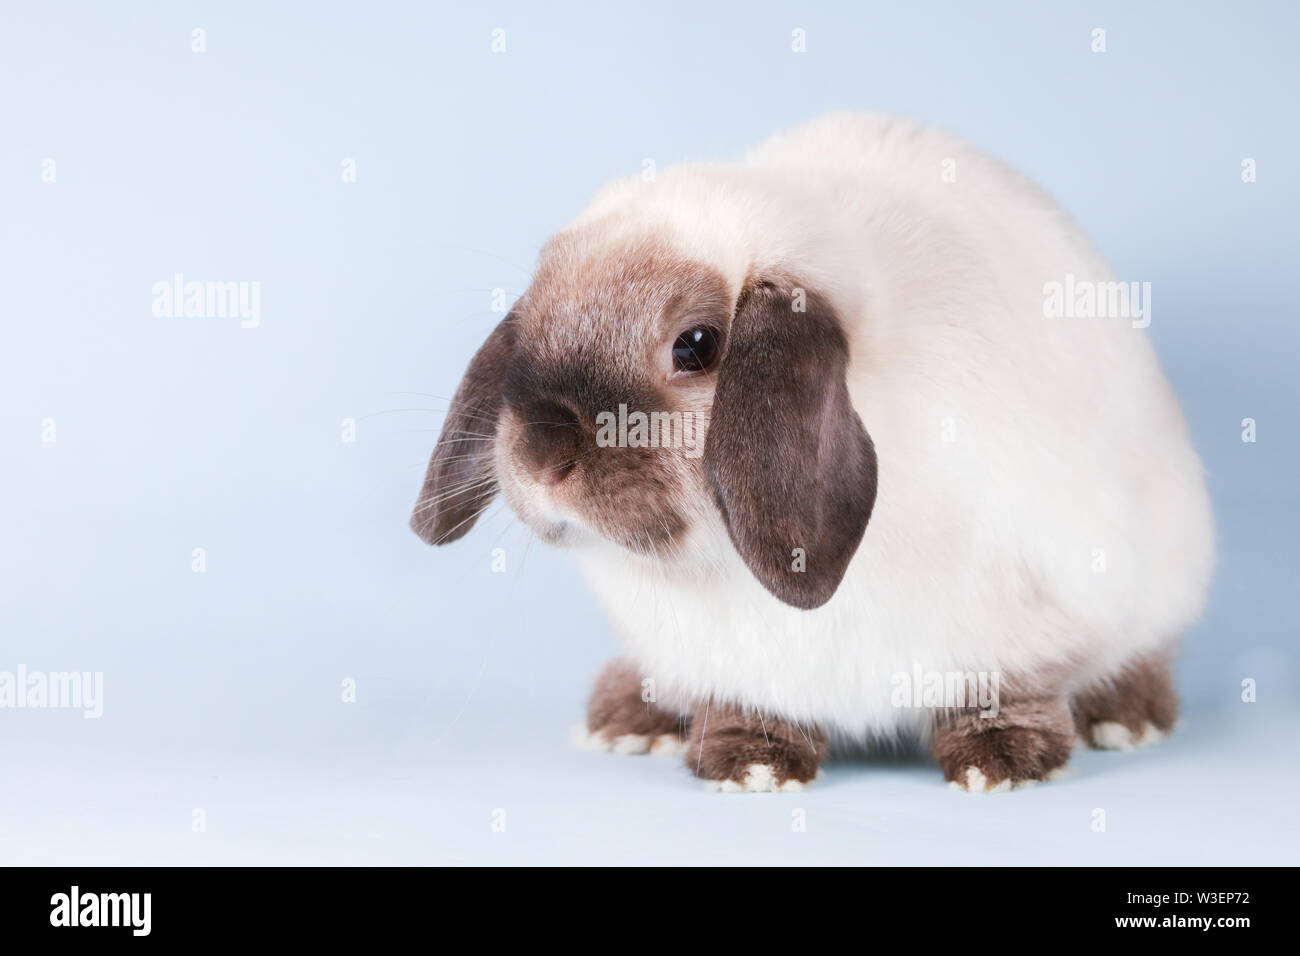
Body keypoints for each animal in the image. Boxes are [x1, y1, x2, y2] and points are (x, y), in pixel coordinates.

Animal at [411, 112, 1214, 793]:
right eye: (526, 342)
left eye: (695, 346)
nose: (541, 456)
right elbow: (747, 707)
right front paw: (751, 763)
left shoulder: (1028, 608)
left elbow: (1010, 690)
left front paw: (1002, 761)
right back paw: (625, 719)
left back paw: (1127, 718)